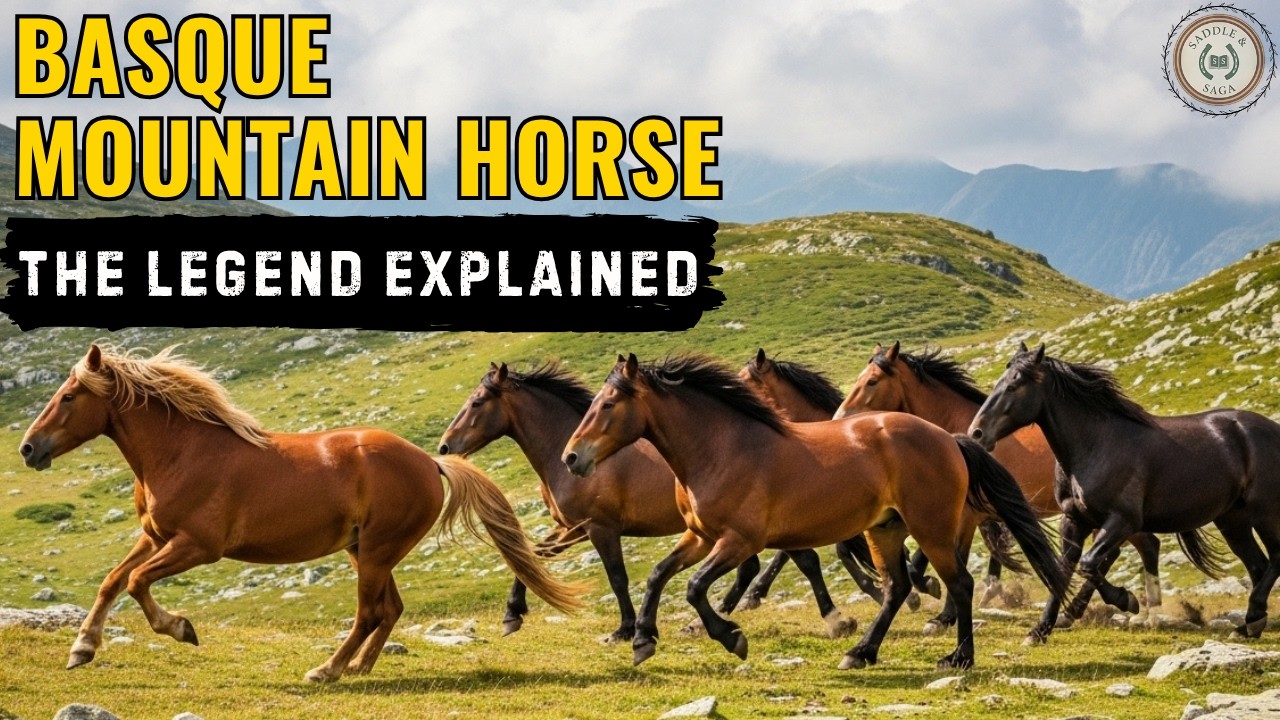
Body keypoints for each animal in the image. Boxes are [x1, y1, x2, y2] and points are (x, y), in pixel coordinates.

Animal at [18, 344, 584, 683]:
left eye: (68, 396)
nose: (27, 449)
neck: (183, 451)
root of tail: (431, 460)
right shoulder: (156, 537)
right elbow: (112, 581)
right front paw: (81, 649)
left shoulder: (197, 547)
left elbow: (136, 583)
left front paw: (181, 628)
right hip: (365, 550)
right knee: (390, 609)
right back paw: (358, 667)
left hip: (375, 551)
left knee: (369, 612)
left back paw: (327, 670)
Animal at [437, 361, 859, 642]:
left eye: (477, 403)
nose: (444, 446)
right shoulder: (571, 528)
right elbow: (532, 555)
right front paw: (513, 615)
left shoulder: (599, 527)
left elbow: (617, 577)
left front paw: (625, 630)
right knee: (768, 563)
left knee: (802, 559)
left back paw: (834, 619)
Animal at [837, 342, 1163, 634]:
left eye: (872, 380)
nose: (840, 419)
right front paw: (939, 600)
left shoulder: (962, 516)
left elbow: (947, 560)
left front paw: (941, 614)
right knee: (1123, 551)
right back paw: (1091, 610)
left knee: (1138, 547)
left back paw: (1132, 608)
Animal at [969, 343, 1280, 642]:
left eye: (1014, 386)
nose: (977, 433)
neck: (1096, 445)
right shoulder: (1074, 520)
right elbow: (1062, 570)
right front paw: (1039, 631)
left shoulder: (1123, 520)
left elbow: (1089, 563)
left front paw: (1126, 600)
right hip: (1232, 521)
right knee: (1258, 565)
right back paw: (1247, 626)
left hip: (1265, 514)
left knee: (1275, 557)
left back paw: (1253, 619)